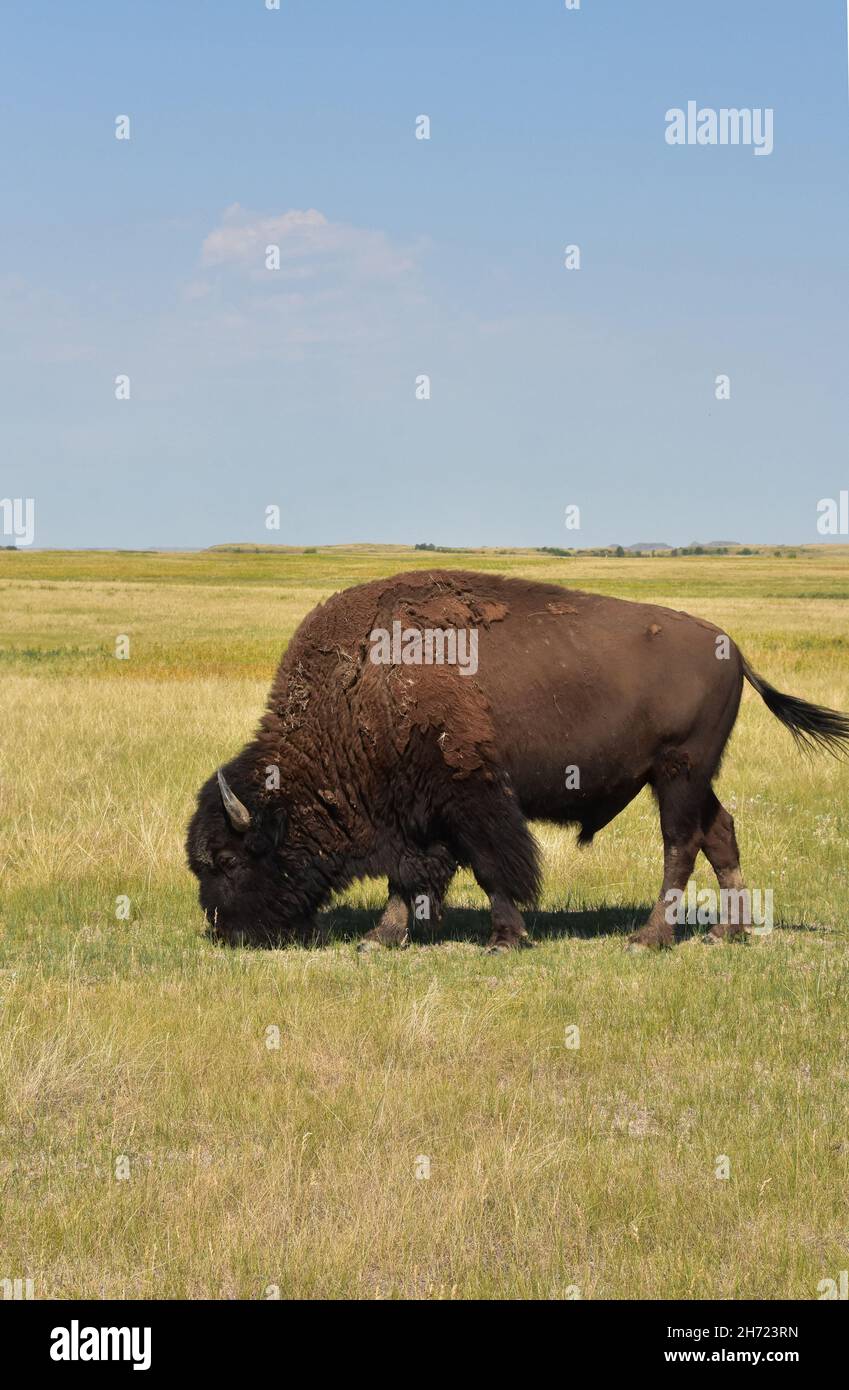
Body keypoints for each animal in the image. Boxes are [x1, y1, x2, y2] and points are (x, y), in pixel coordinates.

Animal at [186, 569, 849, 952]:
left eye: (227, 859)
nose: (224, 931)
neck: (364, 684)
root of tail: (733, 649)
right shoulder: (414, 812)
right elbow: (411, 875)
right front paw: (383, 936)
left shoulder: (470, 799)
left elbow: (490, 868)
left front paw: (504, 939)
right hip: (690, 776)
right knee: (721, 833)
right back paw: (727, 931)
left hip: (677, 773)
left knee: (680, 845)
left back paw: (650, 938)